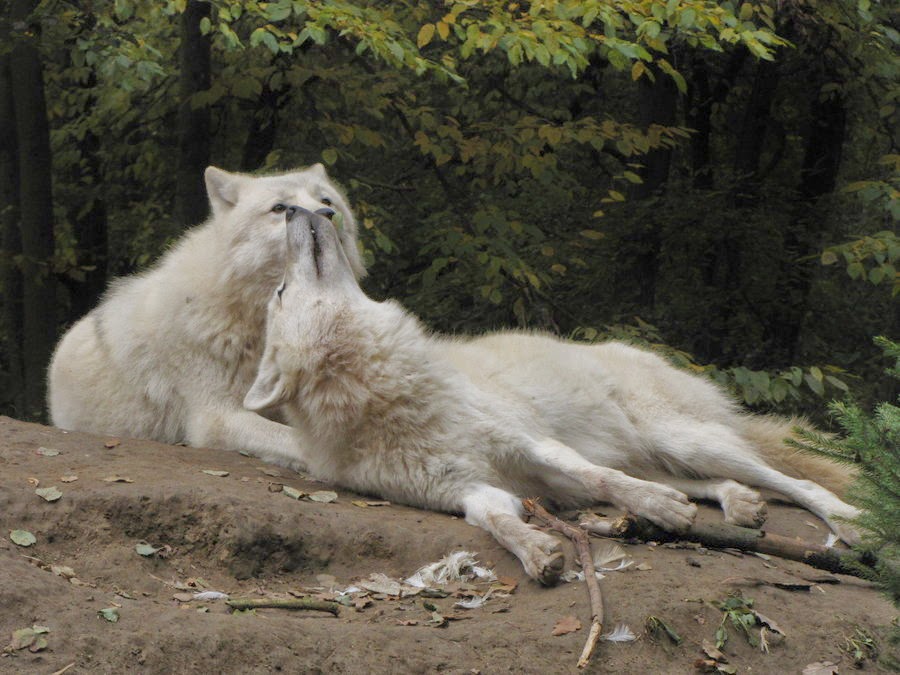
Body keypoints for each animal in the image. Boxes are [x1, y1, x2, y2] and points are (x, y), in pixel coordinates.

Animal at [245, 207, 861, 584]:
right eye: (281, 290)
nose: (302, 210)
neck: (383, 400)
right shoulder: (464, 490)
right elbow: (494, 521)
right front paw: (537, 550)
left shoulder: (532, 442)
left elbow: (600, 478)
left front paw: (656, 509)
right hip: (661, 453)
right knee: (714, 483)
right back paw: (738, 506)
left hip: (681, 437)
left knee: (793, 481)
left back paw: (848, 521)